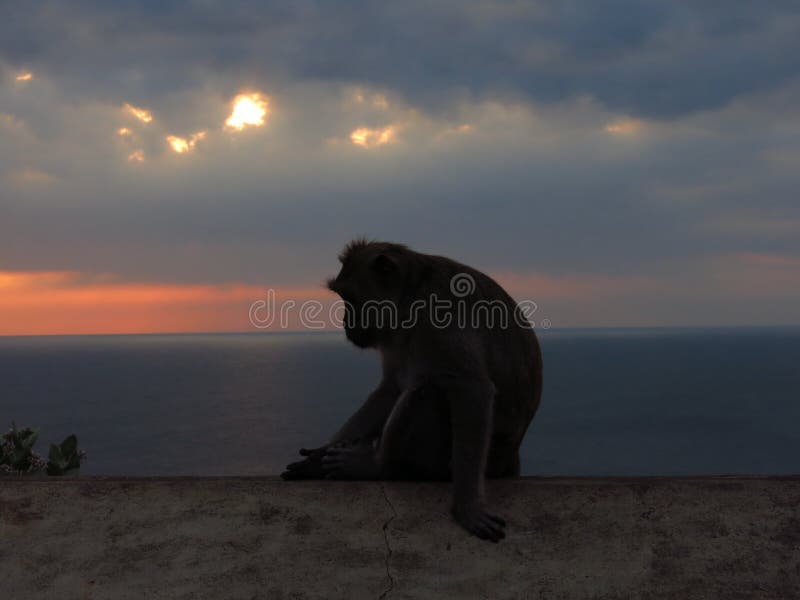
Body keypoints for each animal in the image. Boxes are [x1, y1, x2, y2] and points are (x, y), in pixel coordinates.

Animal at [282, 239, 543, 542]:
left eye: (349, 298)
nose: (346, 324)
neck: (410, 298)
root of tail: (510, 459)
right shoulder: (394, 334)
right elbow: (392, 387)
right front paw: (319, 454)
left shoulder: (438, 317)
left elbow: (472, 389)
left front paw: (467, 506)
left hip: (444, 462)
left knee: (428, 391)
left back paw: (376, 467)